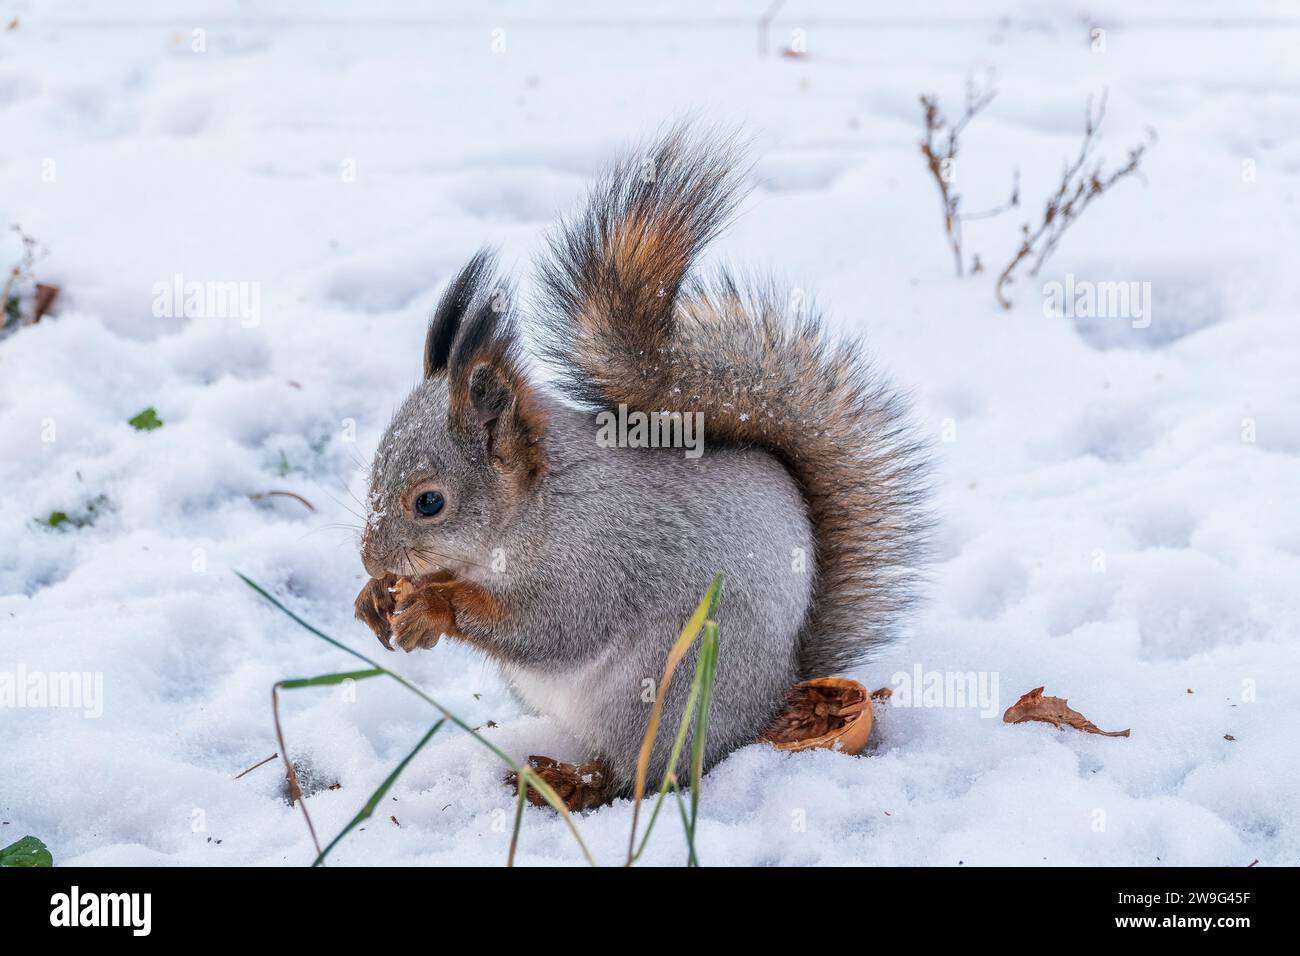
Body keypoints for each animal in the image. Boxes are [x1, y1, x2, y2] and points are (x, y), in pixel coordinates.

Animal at [354, 127, 928, 810]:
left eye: (429, 502)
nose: (370, 561)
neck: (538, 506)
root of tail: (772, 696)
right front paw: (374, 599)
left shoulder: (598, 557)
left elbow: (551, 628)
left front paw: (434, 607)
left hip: (666, 687)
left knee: (645, 776)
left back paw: (574, 784)